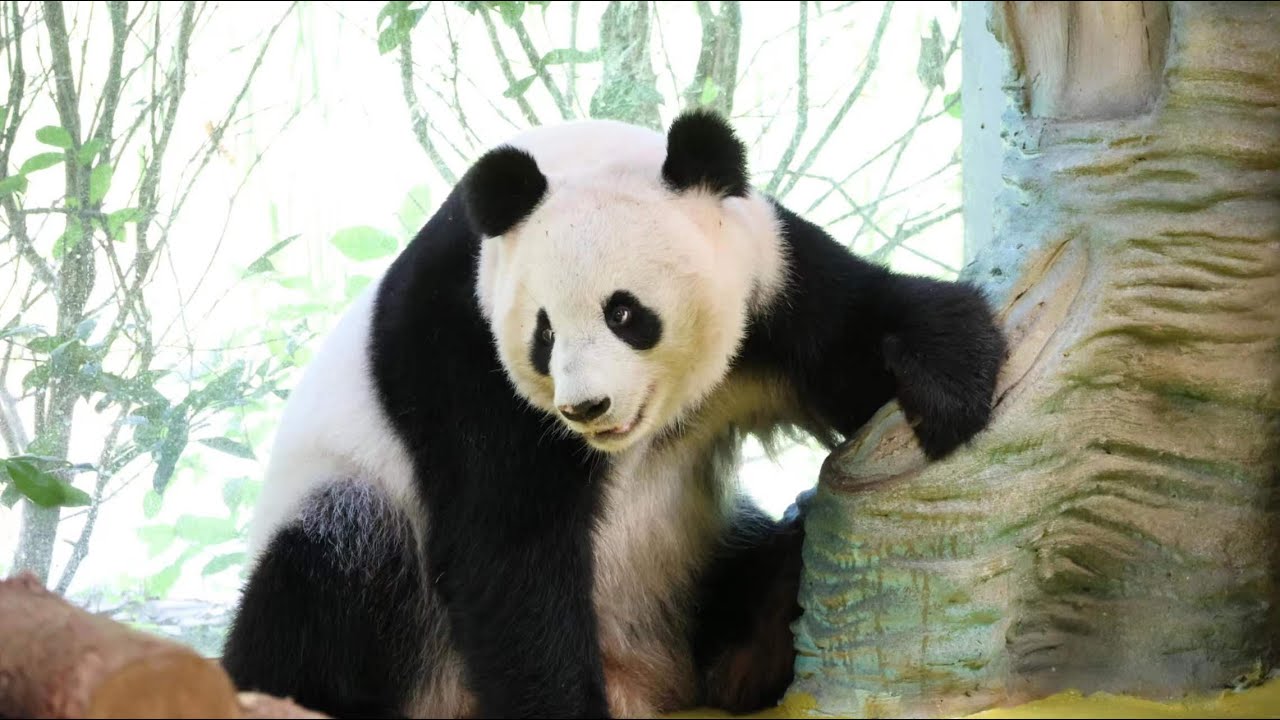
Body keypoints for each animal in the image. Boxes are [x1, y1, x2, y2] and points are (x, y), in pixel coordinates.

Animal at [220, 109, 1006, 719]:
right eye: (543, 333)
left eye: (625, 313)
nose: (585, 406)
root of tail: (646, 680)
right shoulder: (464, 356)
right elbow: (508, 552)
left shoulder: (768, 292)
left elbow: (854, 335)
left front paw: (950, 384)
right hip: (368, 553)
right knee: (329, 567)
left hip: (692, 565)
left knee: (754, 550)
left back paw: (754, 643)